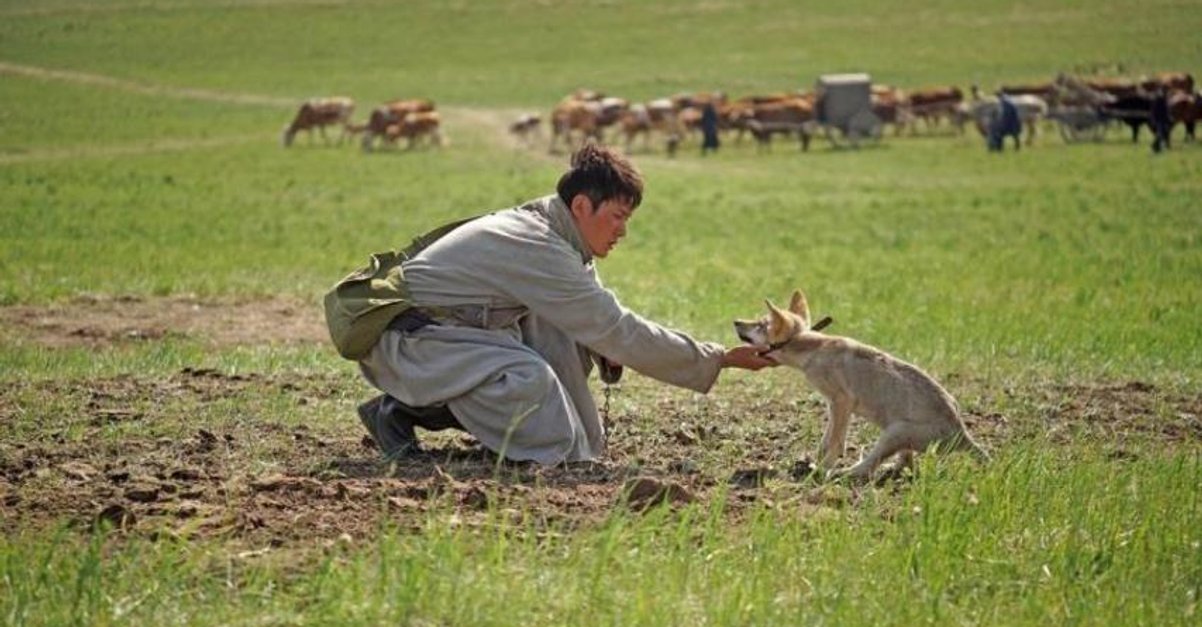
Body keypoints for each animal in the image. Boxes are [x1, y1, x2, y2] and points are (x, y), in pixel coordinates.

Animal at [734, 289, 988, 481]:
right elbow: (827, 440)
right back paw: (889, 471)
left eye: (760, 324)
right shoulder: (833, 406)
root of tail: (962, 432)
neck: (810, 347)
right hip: (894, 433)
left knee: (867, 467)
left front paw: (822, 470)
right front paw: (812, 463)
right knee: (905, 464)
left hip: (894, 433)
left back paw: (842, 474)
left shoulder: (842, 402)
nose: (735, 321)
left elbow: (835, 443)